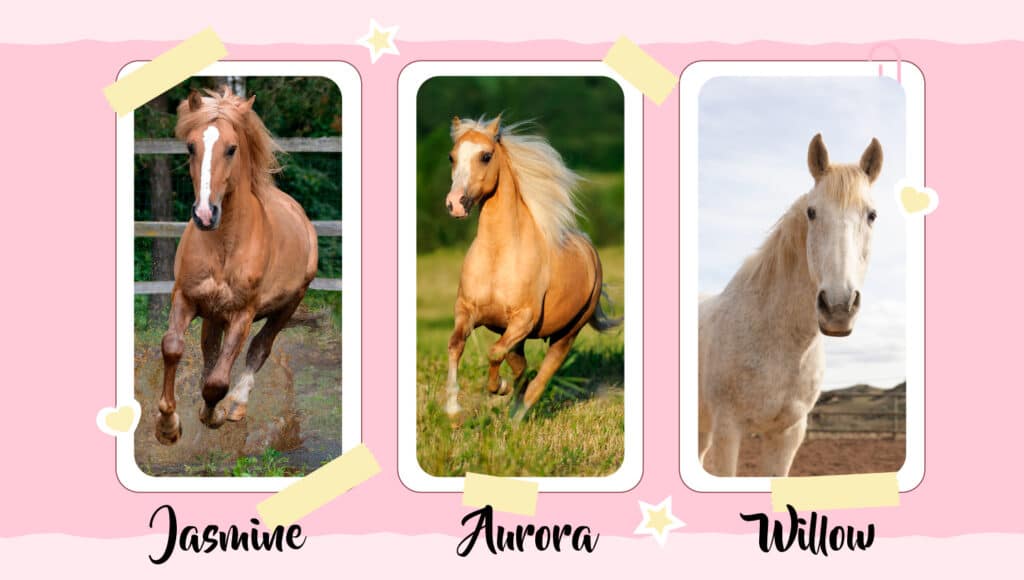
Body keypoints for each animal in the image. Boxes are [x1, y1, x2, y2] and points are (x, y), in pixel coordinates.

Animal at [154, 86, 318, 445]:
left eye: (231, 148)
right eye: (191, 147)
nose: (205, 214)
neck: (224, 244)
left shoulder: (242, 313)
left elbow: (218, 381)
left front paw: (214, 415)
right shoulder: (187, 297)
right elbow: (173, 347)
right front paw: (168, 425)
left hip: (287, 304)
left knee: (259, 349)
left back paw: (237, 406)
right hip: (214, 314)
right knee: (211, 352)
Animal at [441, 116, 621, 422]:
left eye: (486, 156)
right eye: (452, 156)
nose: (456, 204)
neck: (498, 255)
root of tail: (589, 249)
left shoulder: (523, 320)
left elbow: (494, 353)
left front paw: (498, 387)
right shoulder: (467, 311)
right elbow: (456, 345)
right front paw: (453, 409)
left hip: (566, 334)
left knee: (539, 379)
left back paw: (516, 420)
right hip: (519, 336)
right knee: (521, 368)